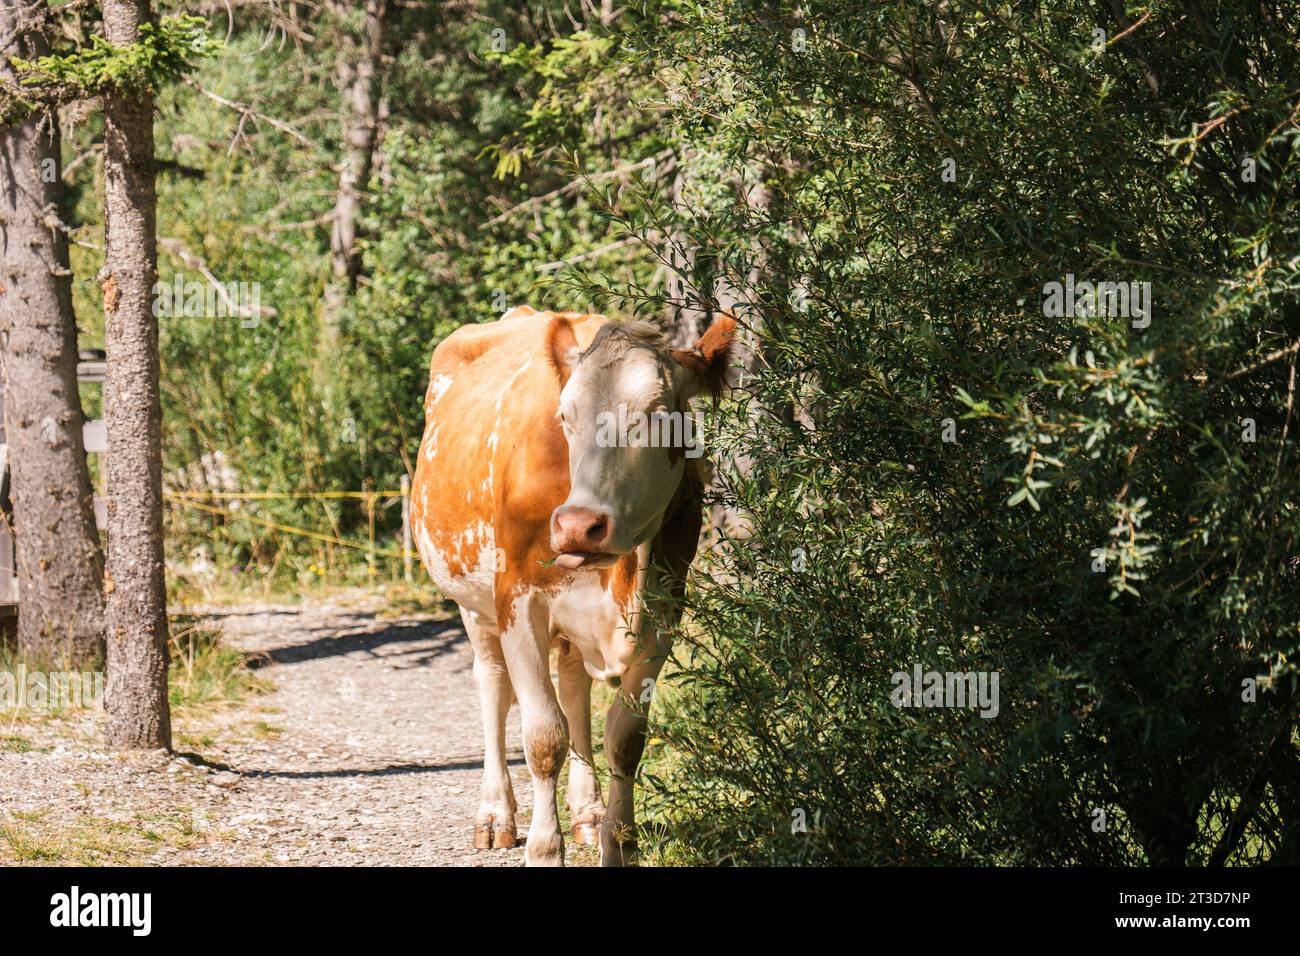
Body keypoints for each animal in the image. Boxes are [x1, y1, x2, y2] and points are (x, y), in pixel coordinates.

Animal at [410, 305, 735, 866]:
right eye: (565, 416)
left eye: (658, 415)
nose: (579, 526)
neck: (622, 581)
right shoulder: (518, 600)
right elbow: (544, 735)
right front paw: (543, 848)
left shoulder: (665, 610)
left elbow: (625, 736)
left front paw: (618, 841)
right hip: (472, 602)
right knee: (493, 686)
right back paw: (496, 815)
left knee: (574, 686)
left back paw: (587, 812)